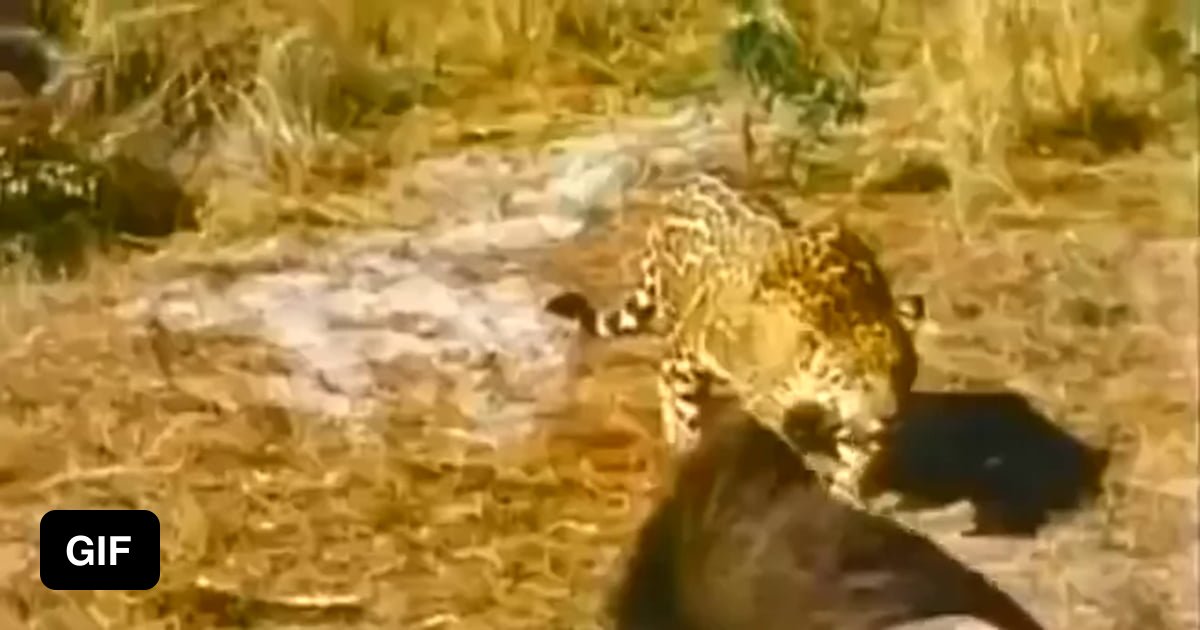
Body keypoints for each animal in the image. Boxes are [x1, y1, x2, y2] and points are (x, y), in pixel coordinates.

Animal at [545, 172, 926, 510]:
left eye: (900, 370)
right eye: (857, 378)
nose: (889, 418)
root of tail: (684, 185)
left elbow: (857, 456)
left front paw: (849, 486)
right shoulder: (765, 400)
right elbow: (799, 440)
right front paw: (824, 468)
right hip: (690, 344)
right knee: (669, 377)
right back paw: (683, 443)